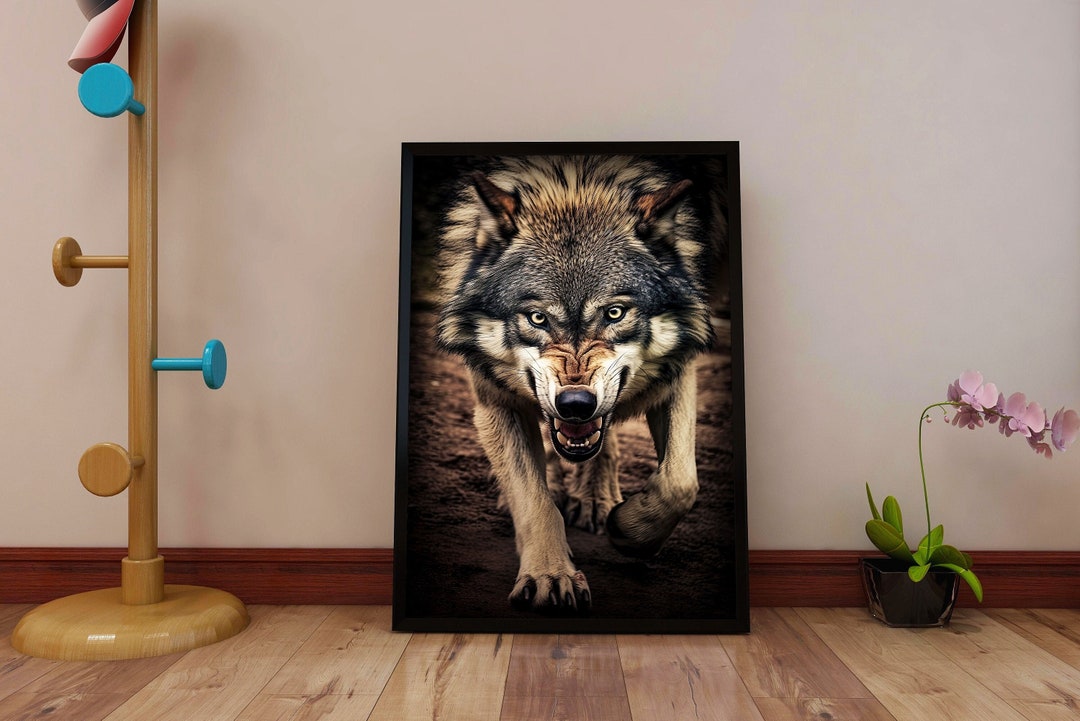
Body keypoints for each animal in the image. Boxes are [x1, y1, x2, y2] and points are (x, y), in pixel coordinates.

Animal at [435, 155, 723, 614]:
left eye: (615, 313)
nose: (574, 403)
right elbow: (533, 498)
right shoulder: (494, 398)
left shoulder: (680, 365)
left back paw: (596, 498)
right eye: (537, 318)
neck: (576, 176)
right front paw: (550, 575)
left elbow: (679, 483)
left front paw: (629, 530)